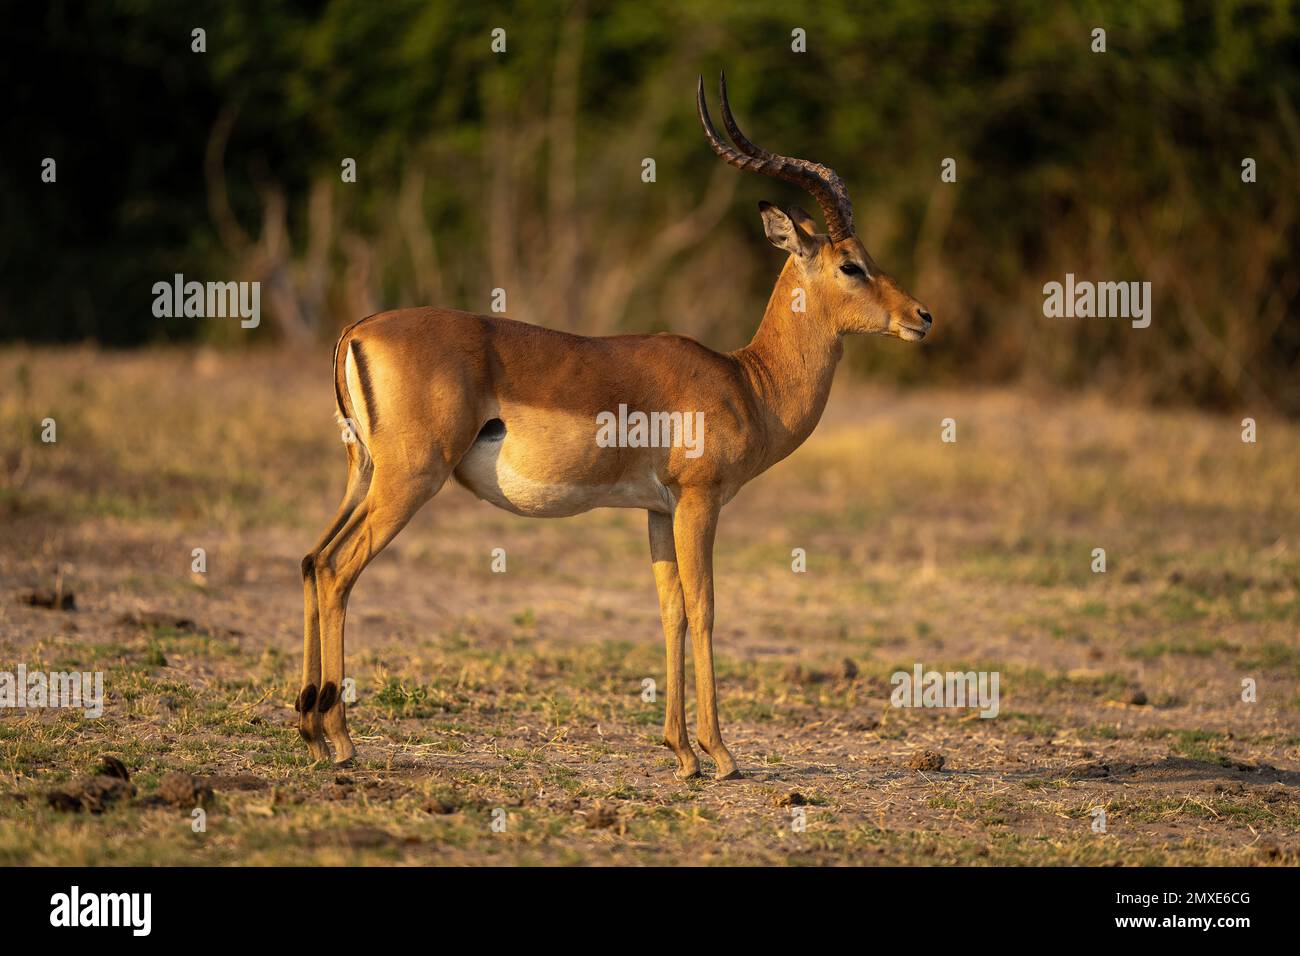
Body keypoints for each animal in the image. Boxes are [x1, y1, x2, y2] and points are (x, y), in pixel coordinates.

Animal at [296, 73, 933, 779]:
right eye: (852, 265)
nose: (921, 316)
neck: (747, 380)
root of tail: (357, 330)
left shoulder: (657, 510)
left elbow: (670, 611)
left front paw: (681, 752)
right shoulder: (700, 500)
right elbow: (706, 608)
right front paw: (721, 754)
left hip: (365, 476)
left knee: (312, 559)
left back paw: (311, 731)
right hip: (410, 480)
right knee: (338, 569)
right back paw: (342, 741)